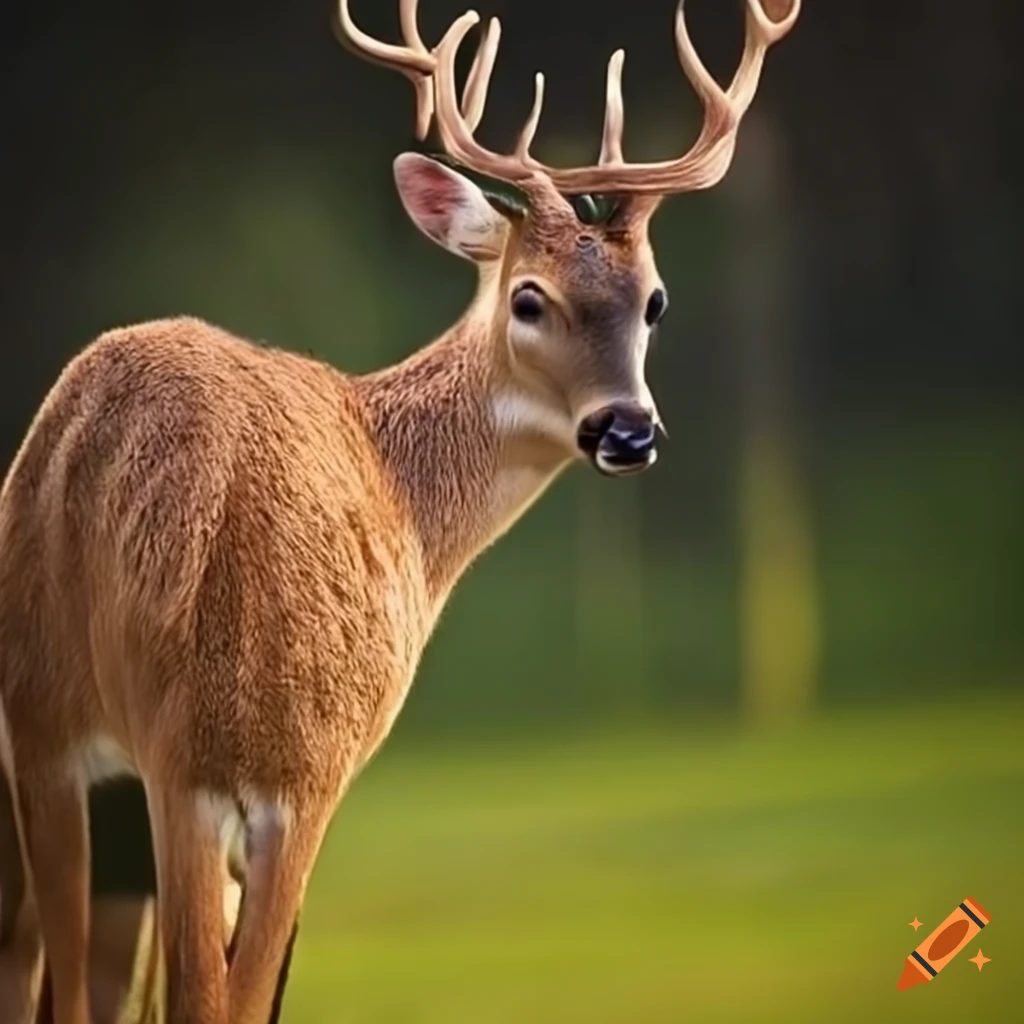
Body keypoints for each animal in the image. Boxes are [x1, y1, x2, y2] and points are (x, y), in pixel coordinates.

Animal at [0, 1, 800, 1021]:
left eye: (654, 300)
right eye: (528, 297)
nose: (629, 429)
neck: (408, 503)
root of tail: (82, 456)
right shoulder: (294, 774)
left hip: (54, 730)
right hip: (185, 748)